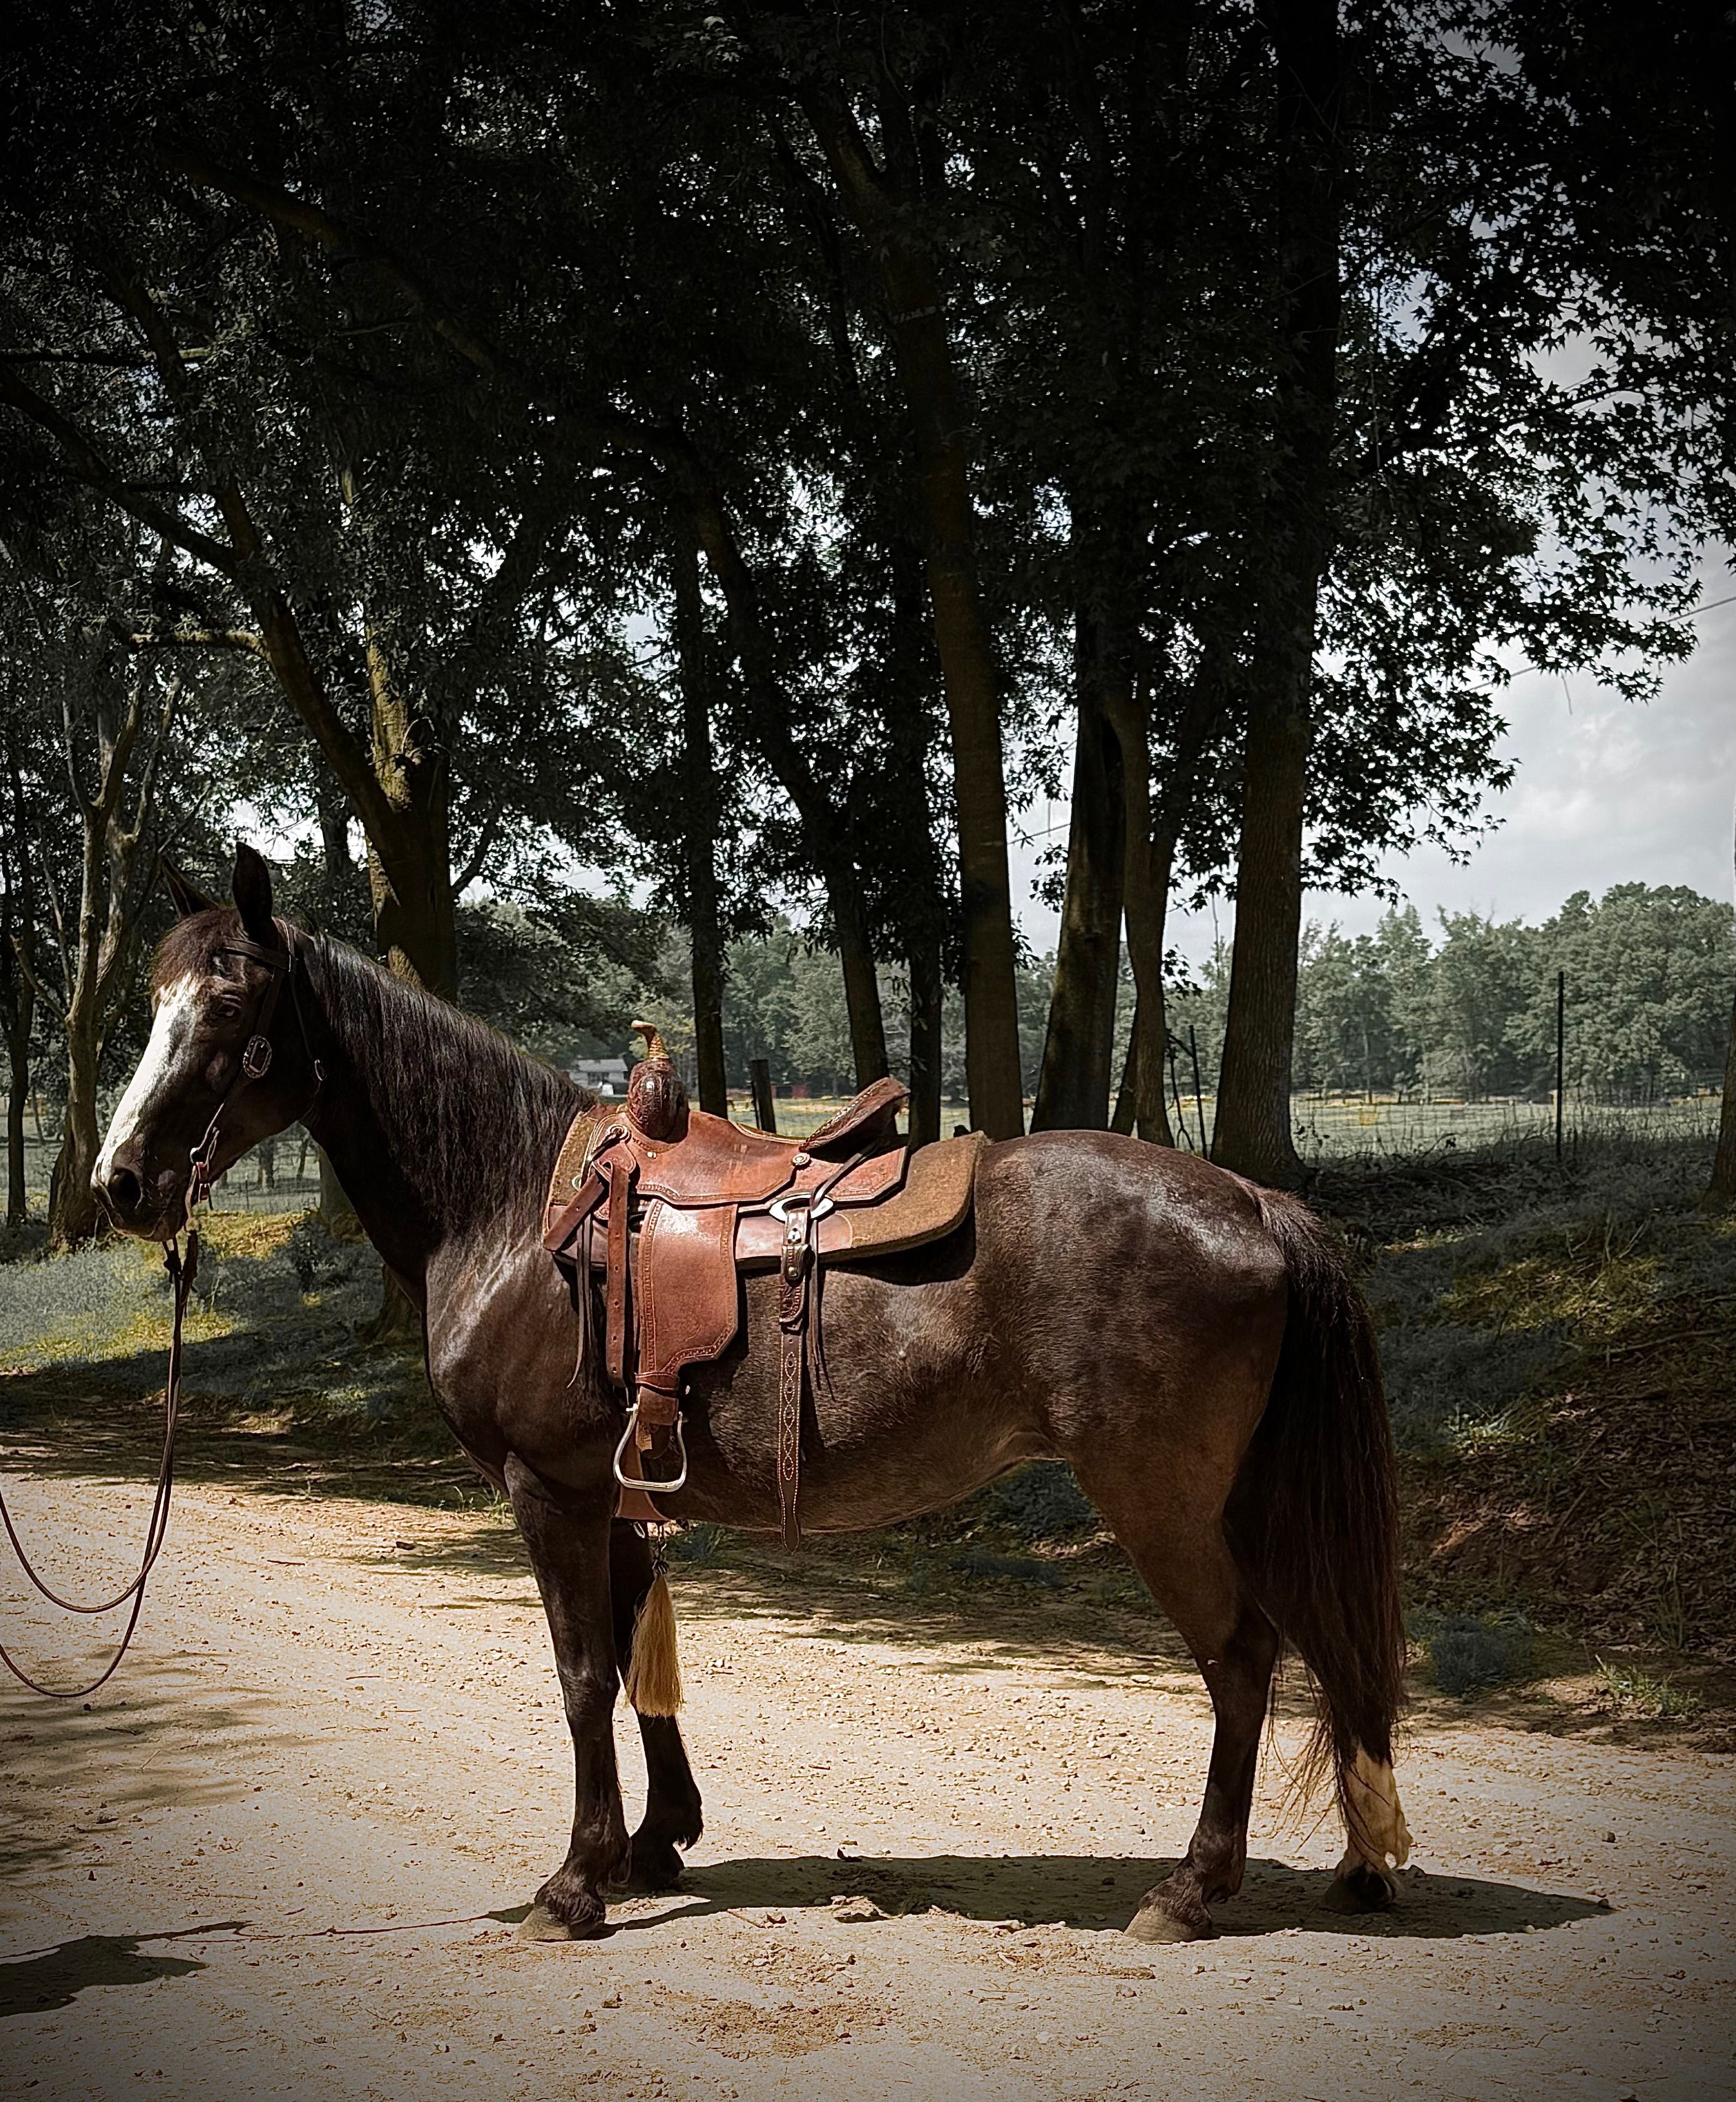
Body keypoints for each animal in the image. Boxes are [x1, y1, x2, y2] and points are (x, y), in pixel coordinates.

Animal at [91, 843, 1412, 1943]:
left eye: (227, 1005)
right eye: (151, 1003)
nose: (120, 1183)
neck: (512, 1210)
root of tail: (1252, 1203)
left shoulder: (548, 1492)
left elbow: (582, 1675)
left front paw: (573, 1883)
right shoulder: (613, 1494)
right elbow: (636, 1656)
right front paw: (649, 1845)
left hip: (1160, 1501)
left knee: (1241, 1659)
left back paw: (1189, 1888)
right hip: (1238, 1498)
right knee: (1319, 1648)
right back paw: (1358, 1861)